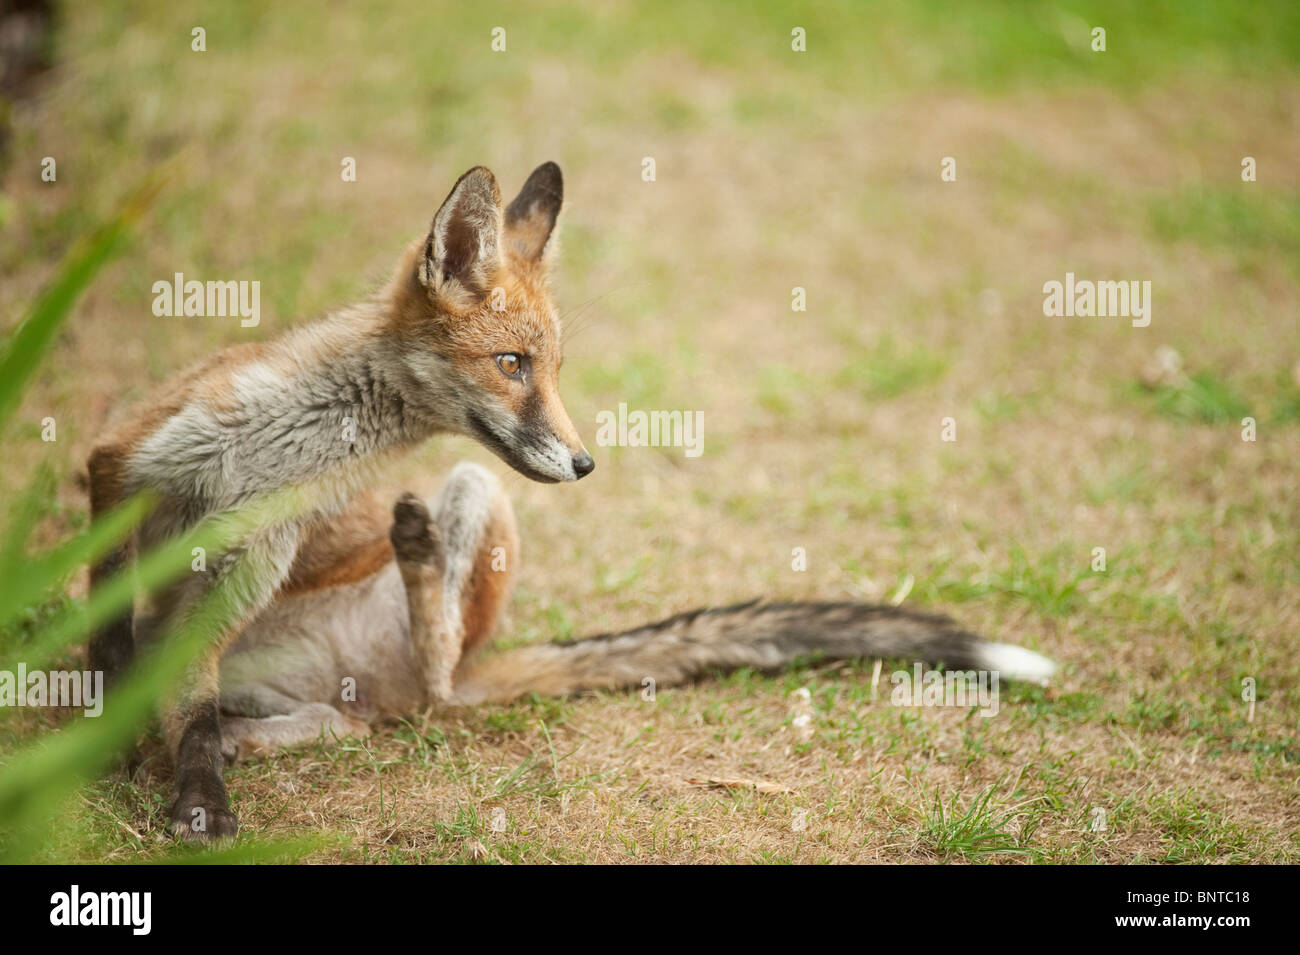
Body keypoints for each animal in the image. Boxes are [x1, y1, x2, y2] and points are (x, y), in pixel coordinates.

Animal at [87, 162, 1057, 841]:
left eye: (552, 369)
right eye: (511, 364)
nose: (587, 462)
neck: (275, 449)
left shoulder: (247, 563)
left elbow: (191, 717)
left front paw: (190, 787)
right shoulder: (123, 461)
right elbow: (112, 624)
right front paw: (112, 727)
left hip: (476, 502)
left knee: (432, 691)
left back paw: (415, 566)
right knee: (343, 717)